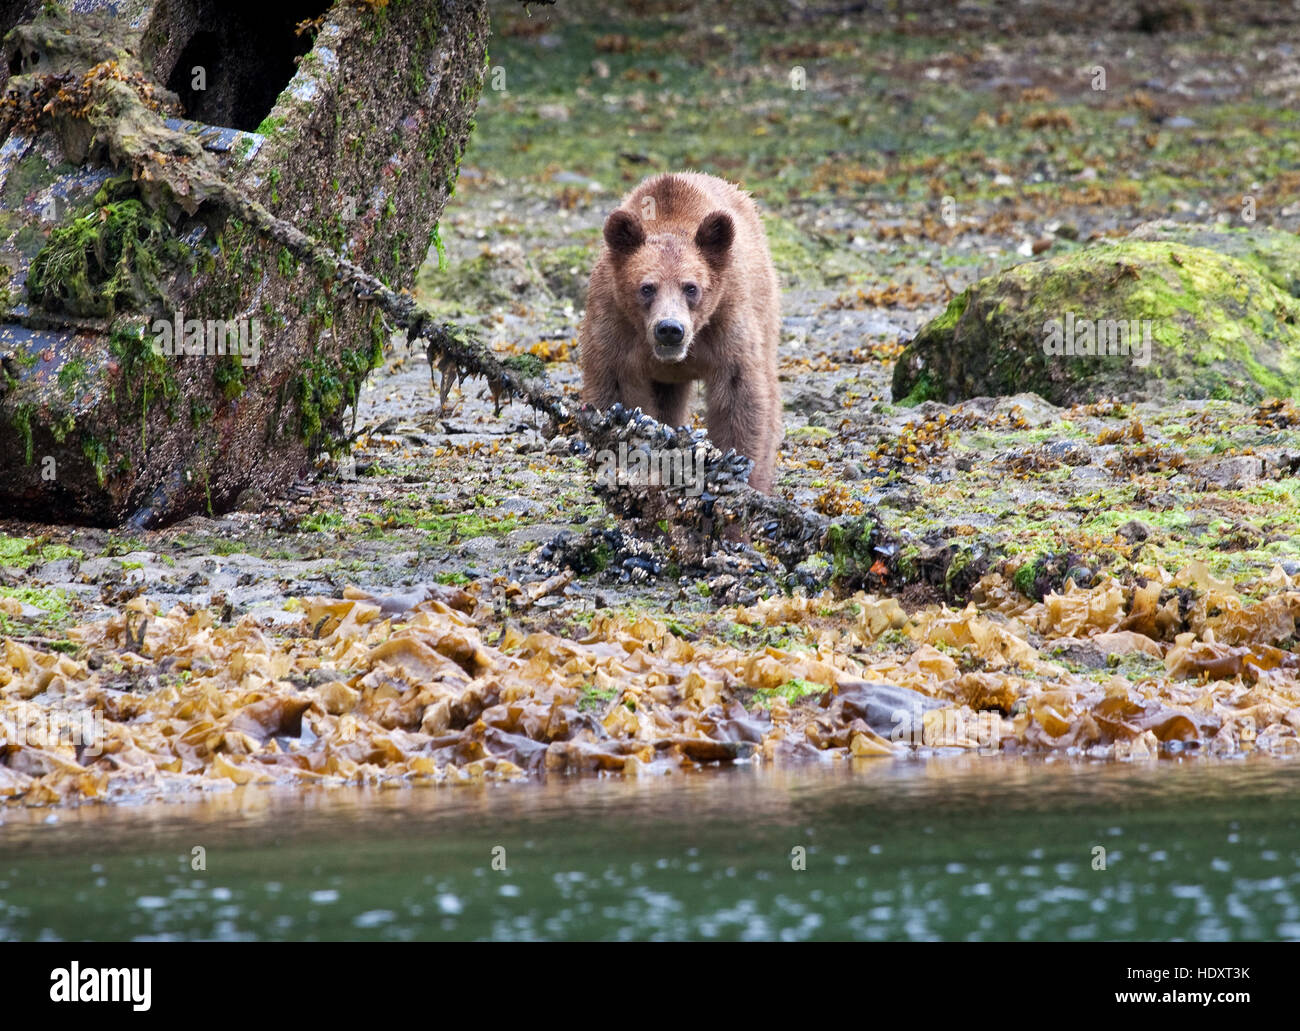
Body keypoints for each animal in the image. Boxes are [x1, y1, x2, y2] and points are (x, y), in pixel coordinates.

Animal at [578, 172, 783, 493]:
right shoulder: (614, 322)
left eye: (691, 287)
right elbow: (615, 389)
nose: (670, 329)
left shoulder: (726, 317)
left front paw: (740, 474)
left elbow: (739, 392)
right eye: (646, 287)